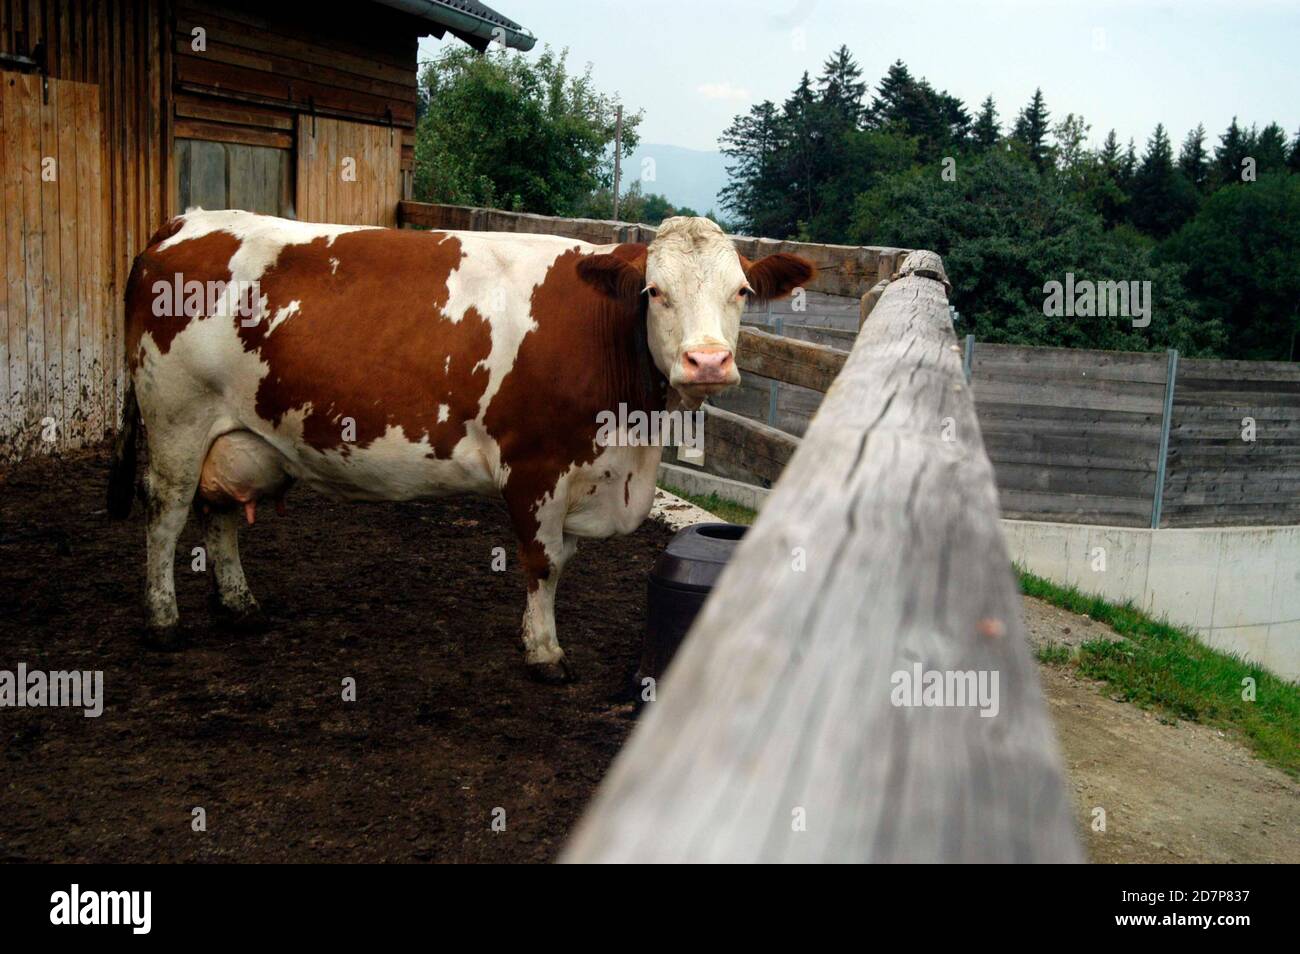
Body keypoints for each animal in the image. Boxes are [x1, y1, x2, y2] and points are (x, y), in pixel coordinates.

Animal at [107, 210, 814, 682]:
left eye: (742, 291)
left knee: (220, 514)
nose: (707, 362)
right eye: (654, 292)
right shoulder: (535, 467)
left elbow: (563, 560)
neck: (630, 445)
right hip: (176, 419)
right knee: (166, 515)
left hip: (233, 433)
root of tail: (186, 221)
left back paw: (241, 606)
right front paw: (544, 653)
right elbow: (543, 563)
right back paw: (164, 622)